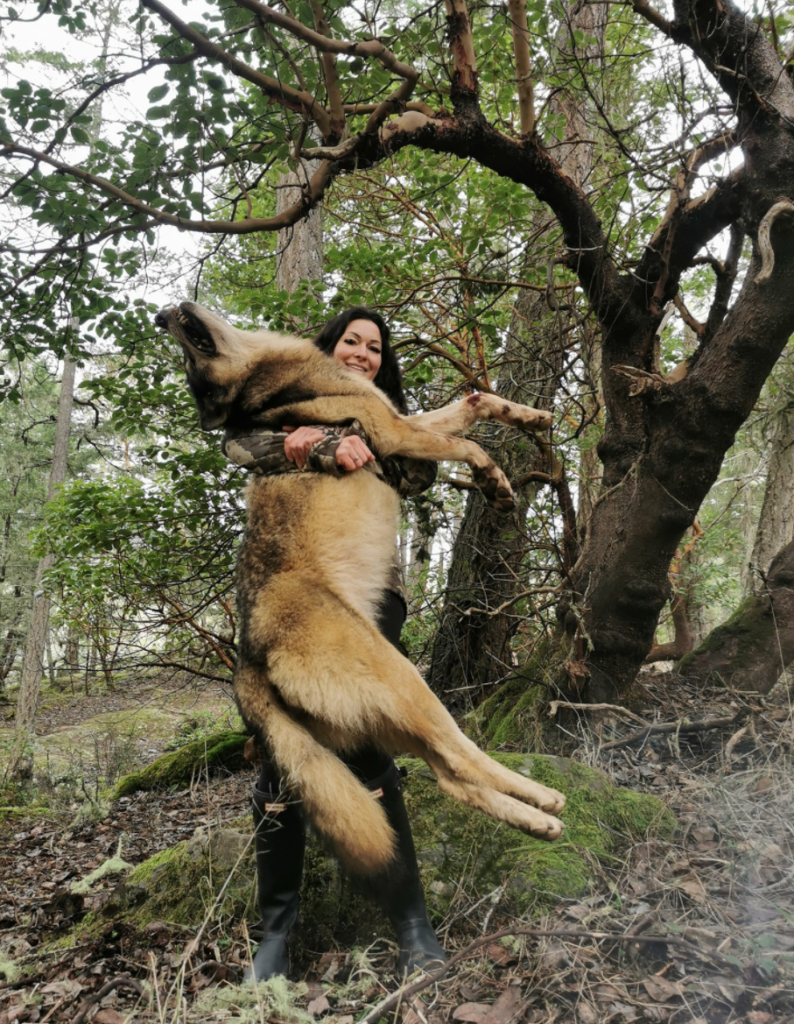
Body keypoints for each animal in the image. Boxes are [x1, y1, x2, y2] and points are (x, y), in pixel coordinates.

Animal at [155, 301, 566, 873]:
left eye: (193, 371)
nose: (161, 316)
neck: (270, 378)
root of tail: (247, 664)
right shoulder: (390, 431)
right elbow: (464, 441)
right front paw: (494, 478)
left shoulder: (400, 422)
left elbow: (474, 404)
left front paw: (530, 417)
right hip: (408, 686)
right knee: (461, 757)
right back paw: (544, 798)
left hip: (383, 724)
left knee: (448, 778)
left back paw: (537, 823)